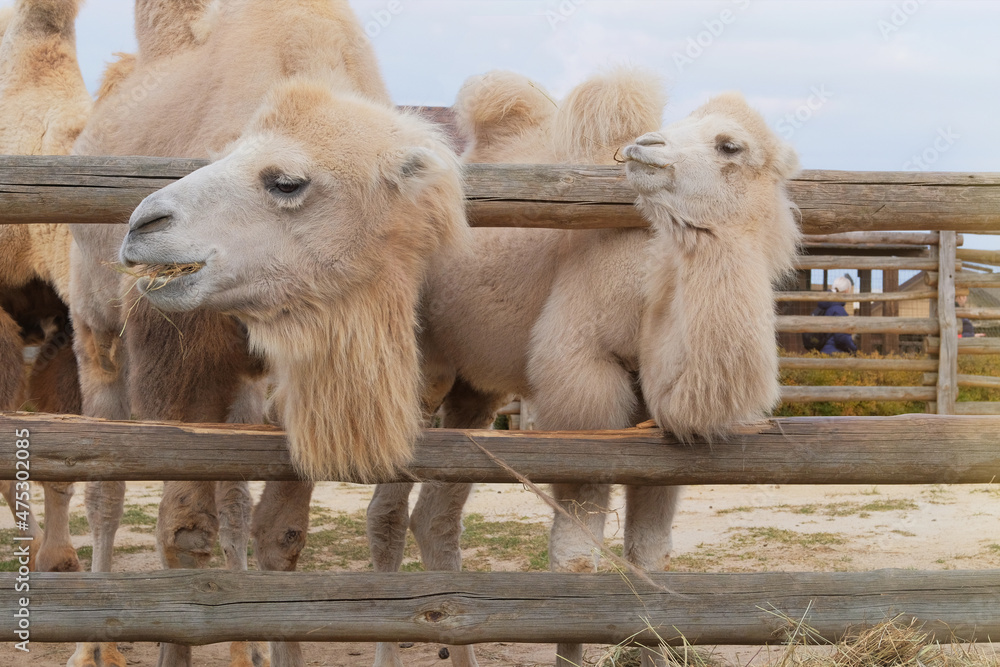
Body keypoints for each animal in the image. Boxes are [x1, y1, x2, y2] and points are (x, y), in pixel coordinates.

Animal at [74, 1, 463, 666]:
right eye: (217, 155)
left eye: (285, 181)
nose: (143, 223)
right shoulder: (185, 363)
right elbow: (183, 531)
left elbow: (281, 536)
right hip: (97, 329)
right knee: (106, 488)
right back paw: (99, 647)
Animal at [364, 70, 801, 667]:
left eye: (729, 145)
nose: (643, 147)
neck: (650, 286)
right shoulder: (582, 385)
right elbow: (575, 565)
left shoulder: (659, 425)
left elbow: (650, 558)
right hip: (422, 363)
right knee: (385, 512)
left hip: (474, 389)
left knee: (434, 517)